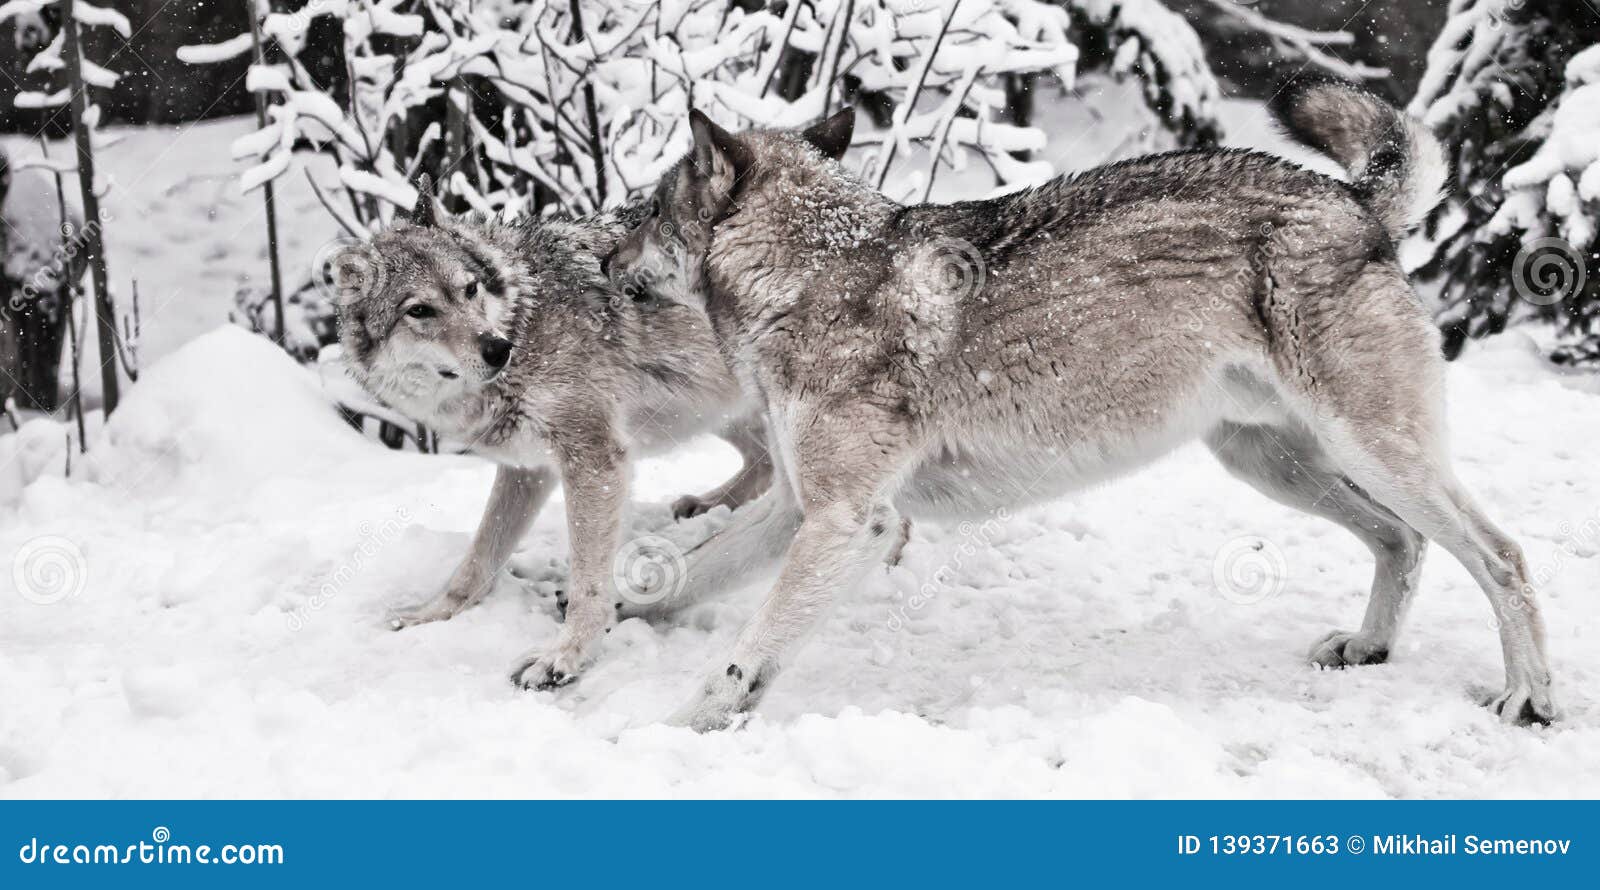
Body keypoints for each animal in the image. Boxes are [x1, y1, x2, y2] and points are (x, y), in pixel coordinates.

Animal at [332, 179, 772, 688]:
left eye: (470, 289)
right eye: (419, 311)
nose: (497, 348)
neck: (527, 318)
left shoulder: (594, 457)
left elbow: (586, 582)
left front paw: (566, 655)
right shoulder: (527, 467)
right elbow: (477, 561)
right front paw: (430, 614)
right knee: (766, 464)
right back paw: (707, 506)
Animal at [608, 80, 1556, 732]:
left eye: (645, 210)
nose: (607, 256)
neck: (806, 274)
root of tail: (1356, 204)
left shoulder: (851, 521)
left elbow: (746, 658)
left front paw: (678, 729)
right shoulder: (795, 509)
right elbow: (680, 576)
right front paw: (594, 630)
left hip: (1370, 454)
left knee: (1502, 554)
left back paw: (1528, 699)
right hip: (1273, 464)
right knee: (1403, 542)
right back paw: (1369, 649)